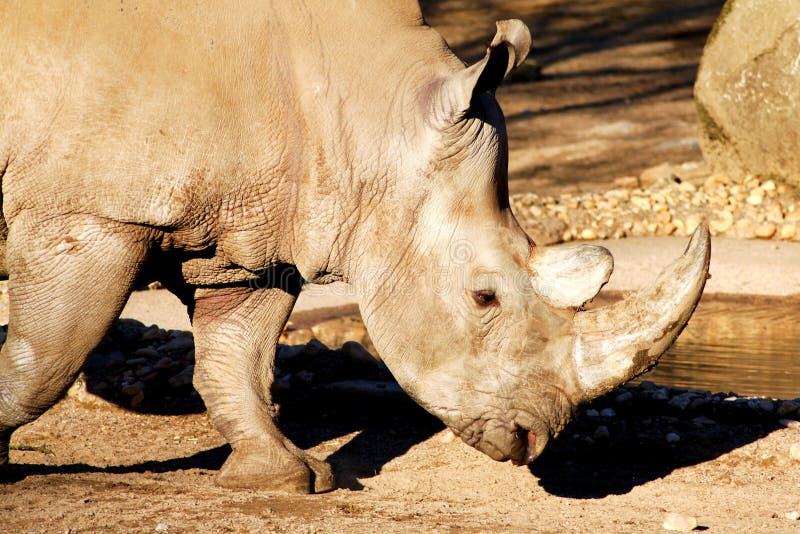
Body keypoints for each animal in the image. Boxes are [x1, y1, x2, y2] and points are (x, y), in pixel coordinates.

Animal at [0, 1, 709, 493]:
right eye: (484, 298)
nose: (535, 438)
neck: (371, 115)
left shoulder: (257, 230)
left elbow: (238, 355)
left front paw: (288, 478)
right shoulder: (92, 215)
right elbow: (46, 359)